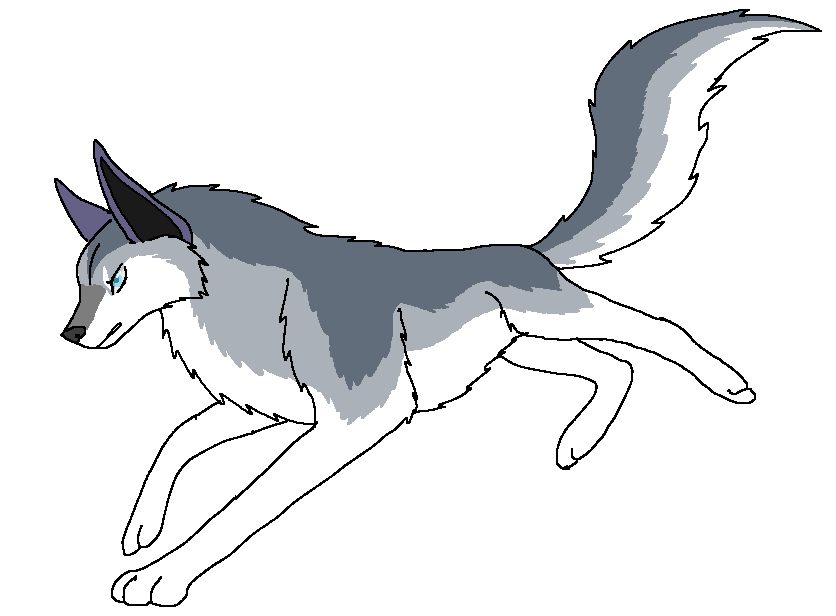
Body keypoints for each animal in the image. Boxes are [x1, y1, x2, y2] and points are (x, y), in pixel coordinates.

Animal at [56, 11, 816, 606]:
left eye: (116, 280)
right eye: (81, 282)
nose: (69, 334)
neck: (249, 304)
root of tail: (525, 249)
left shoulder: (352, 421)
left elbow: (237, 511)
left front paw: (163, 576)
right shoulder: (275, 413)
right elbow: (176, 439)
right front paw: (140, 530)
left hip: (560, 319)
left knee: (656, 328)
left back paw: (729, 383)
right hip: (525, 351)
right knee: (615, 369)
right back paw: (577, 443)